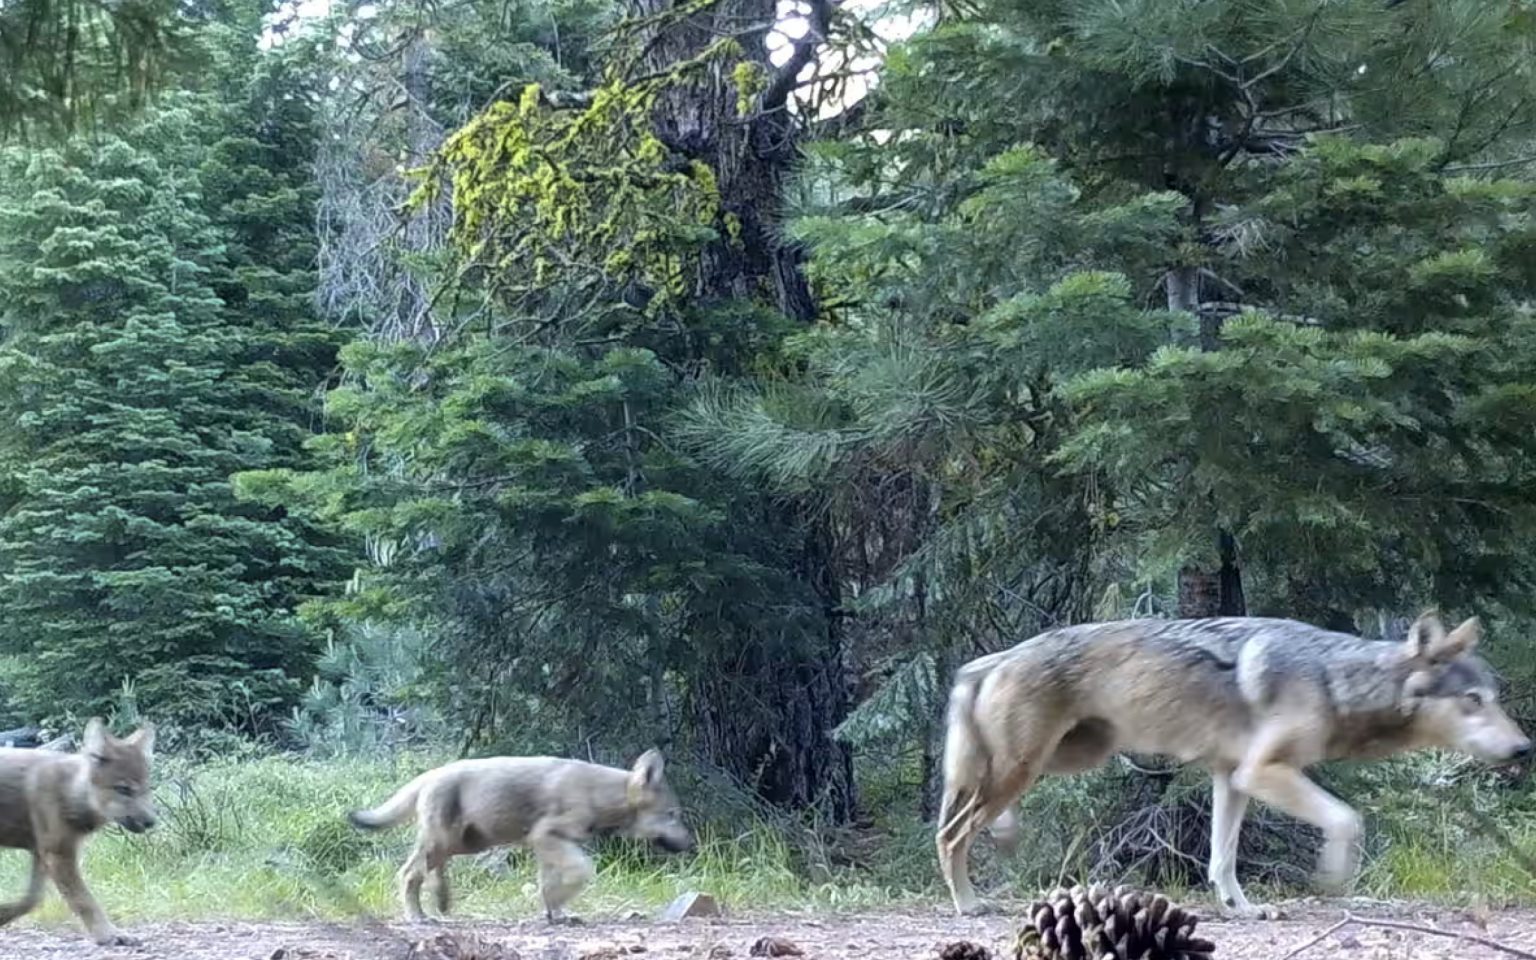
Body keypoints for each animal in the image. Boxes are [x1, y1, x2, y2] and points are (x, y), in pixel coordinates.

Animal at [0, 718, 157, 945]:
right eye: (123, 789)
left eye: (147, 789)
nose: (152, 822)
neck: (69, 791)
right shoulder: (59, 856)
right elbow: (85, 901)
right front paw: (109, 934)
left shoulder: (41, 854)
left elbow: (30, 901)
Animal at [349, 748, 693, 923]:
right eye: (673, 815)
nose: (693, 844)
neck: (599, 794)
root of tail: (430, 773)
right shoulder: (546, 836)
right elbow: (581, 871)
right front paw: (557, 909)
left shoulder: (550, 845)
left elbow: (549, 885)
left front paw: (556, 913)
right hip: (447, 842)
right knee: (409, 874)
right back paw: (419, 917)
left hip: (463, 844)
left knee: (429, 871)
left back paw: (442, 902)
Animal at [935, 612, 1530, 918]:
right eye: (1473, 700)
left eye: (1495, 697)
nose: (1525, 749)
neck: (1334, 681)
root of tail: (990, 660)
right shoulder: (1261, 772)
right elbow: (1348, 819)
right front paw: (1332, 878)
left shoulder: (1232, 777)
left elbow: (1222, 859)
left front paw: (1240, 908)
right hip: (1026, 767)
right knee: (951, 833)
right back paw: (968, 903)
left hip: (1067, 758)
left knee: (971, 817)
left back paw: (1000, 842)